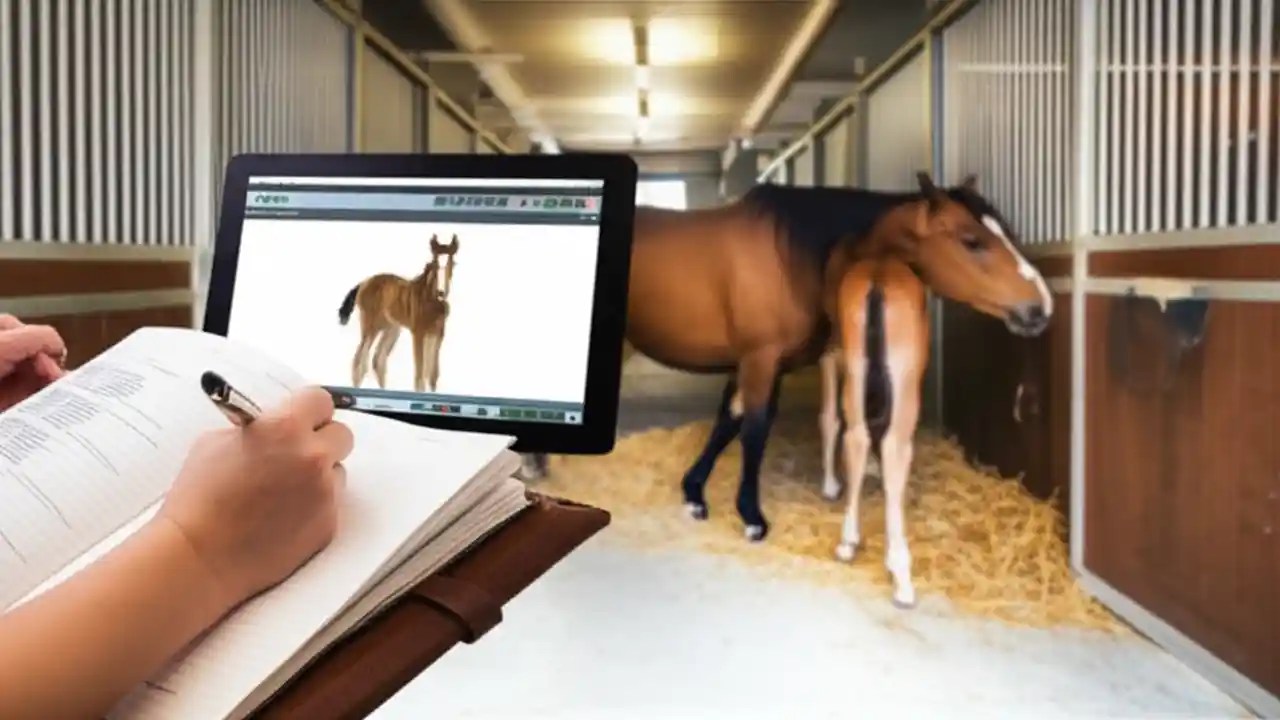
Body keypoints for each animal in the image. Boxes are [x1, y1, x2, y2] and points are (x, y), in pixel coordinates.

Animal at [337, 234, 459, 393]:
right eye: (434, 264)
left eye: (453, 263)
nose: (441, 292)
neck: (431, 301)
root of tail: (364, 283)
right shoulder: (418, 334)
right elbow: (420, 376)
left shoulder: (437, 335)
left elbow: (432, 376)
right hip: (370, 327)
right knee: (359, 363)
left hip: (391, 329)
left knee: (378, 360)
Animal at [525, 172, 1053, 542]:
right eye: (971, 241)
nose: (1041, 308)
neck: (796, 253)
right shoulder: (760, 358)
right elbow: (755, 428)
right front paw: (751, 517)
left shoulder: (755, 363)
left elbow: (729, 421)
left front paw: (694, 494)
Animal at [818, 220, 933, 609]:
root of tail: (878, 279)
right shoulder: (829, 356)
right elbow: (829, 418)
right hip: (903, 381)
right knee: (894, 445)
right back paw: (901, 575)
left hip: (857, 367)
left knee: (857, 435)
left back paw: (848, 541)